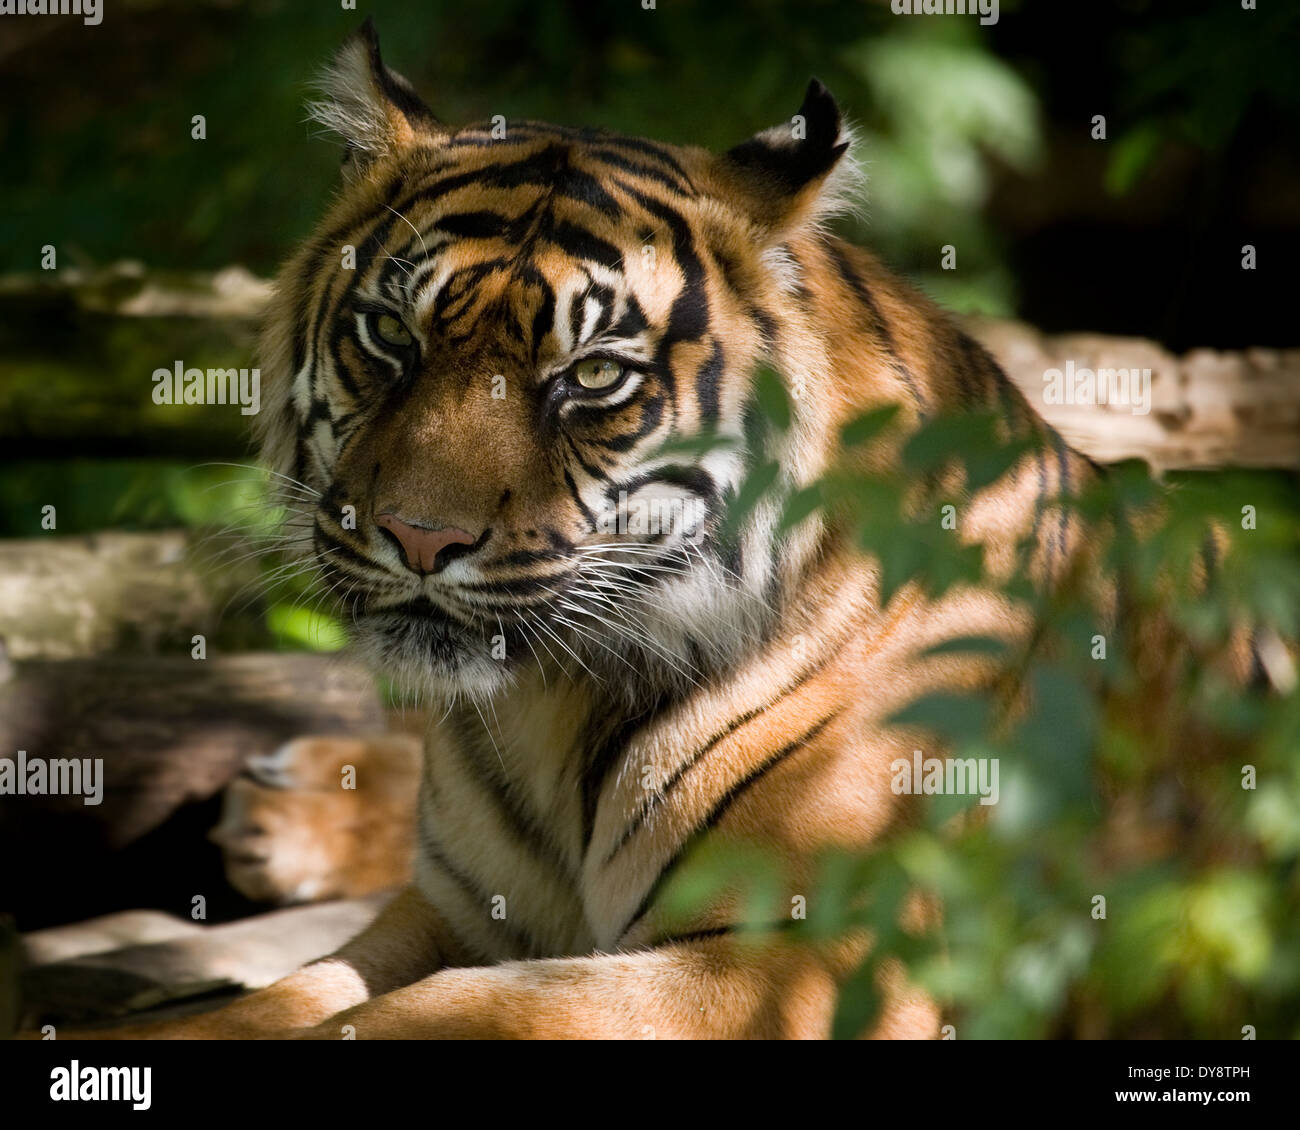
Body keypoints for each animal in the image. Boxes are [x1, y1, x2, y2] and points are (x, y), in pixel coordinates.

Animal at [85, 19, 1106, 1039]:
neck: (551, 707)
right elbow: (283, 997)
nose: (418, 538)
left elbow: (436, 1012)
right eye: (391, 336)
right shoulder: (453, 912)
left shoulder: (813, 958)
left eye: (593, 376)